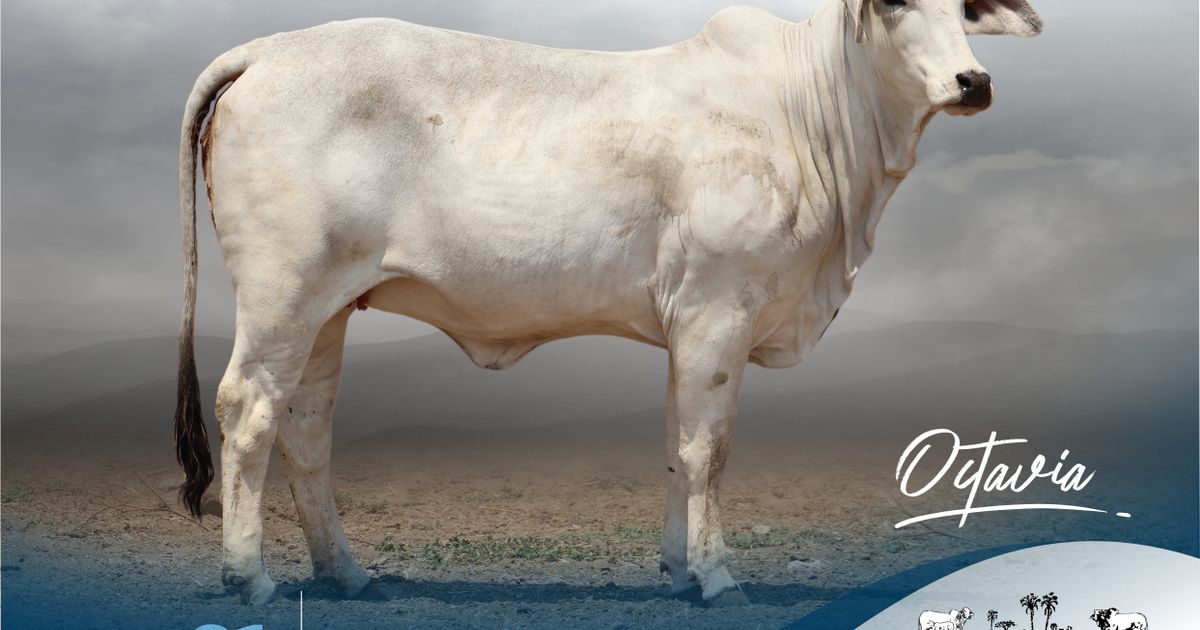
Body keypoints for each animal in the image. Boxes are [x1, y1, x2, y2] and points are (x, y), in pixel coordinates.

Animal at [173, 0, 1042, 605]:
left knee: (305, 430)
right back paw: (248, 579)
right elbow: (709, 449)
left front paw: (678, 569)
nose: (974, 83)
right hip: (282, 296)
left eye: (966, 7)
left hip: (327, 310)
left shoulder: (690, 327)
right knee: (248, 412)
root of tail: (264, 50)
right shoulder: (718, 308)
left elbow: (679, 444)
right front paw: (717, 577)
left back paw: (346, 575)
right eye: (895, 3)